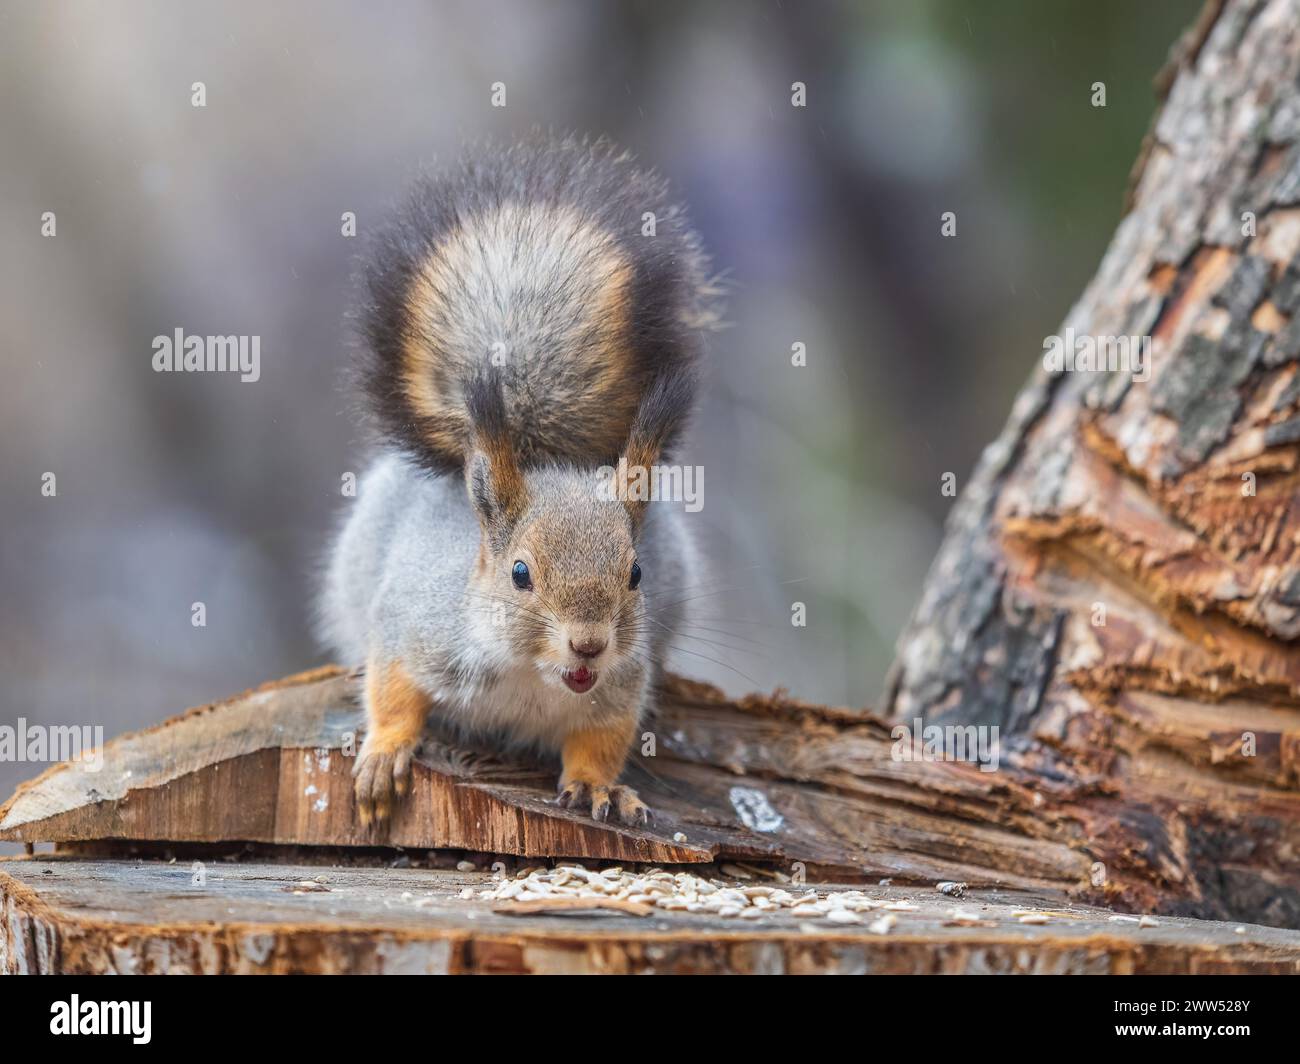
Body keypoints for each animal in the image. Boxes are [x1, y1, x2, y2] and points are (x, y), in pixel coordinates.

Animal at [320, 135, 722, 828]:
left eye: (636, 573)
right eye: (520, 573)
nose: (588, 646)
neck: (533, 672)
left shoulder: (621, 685)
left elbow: (602, 741)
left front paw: (598, 787)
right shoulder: (414, 626)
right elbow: (392, 689)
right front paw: (384, 756)